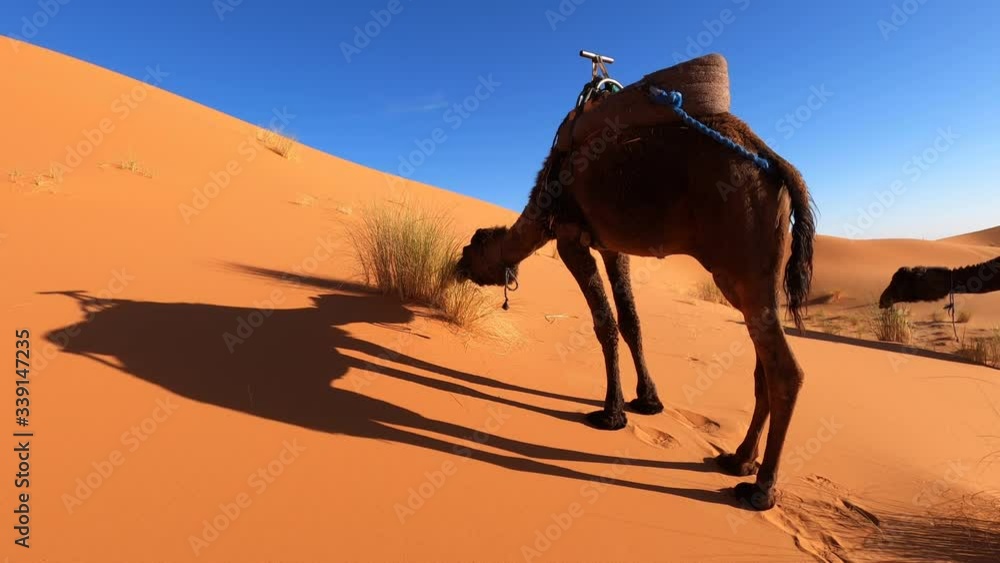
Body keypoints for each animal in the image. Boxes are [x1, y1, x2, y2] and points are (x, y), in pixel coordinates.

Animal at [455, 112, 816, 511]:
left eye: (471, 248)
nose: (458, 267)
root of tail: (779, 165)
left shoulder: (569, 237)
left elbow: (605, 324)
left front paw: (611, 414)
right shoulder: (612, 247)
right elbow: (631, 321)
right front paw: (648, 400)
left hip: (740, 257)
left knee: (785, 370)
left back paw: (760, 489)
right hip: (751, 278)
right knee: (762, 365)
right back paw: (739, 460)